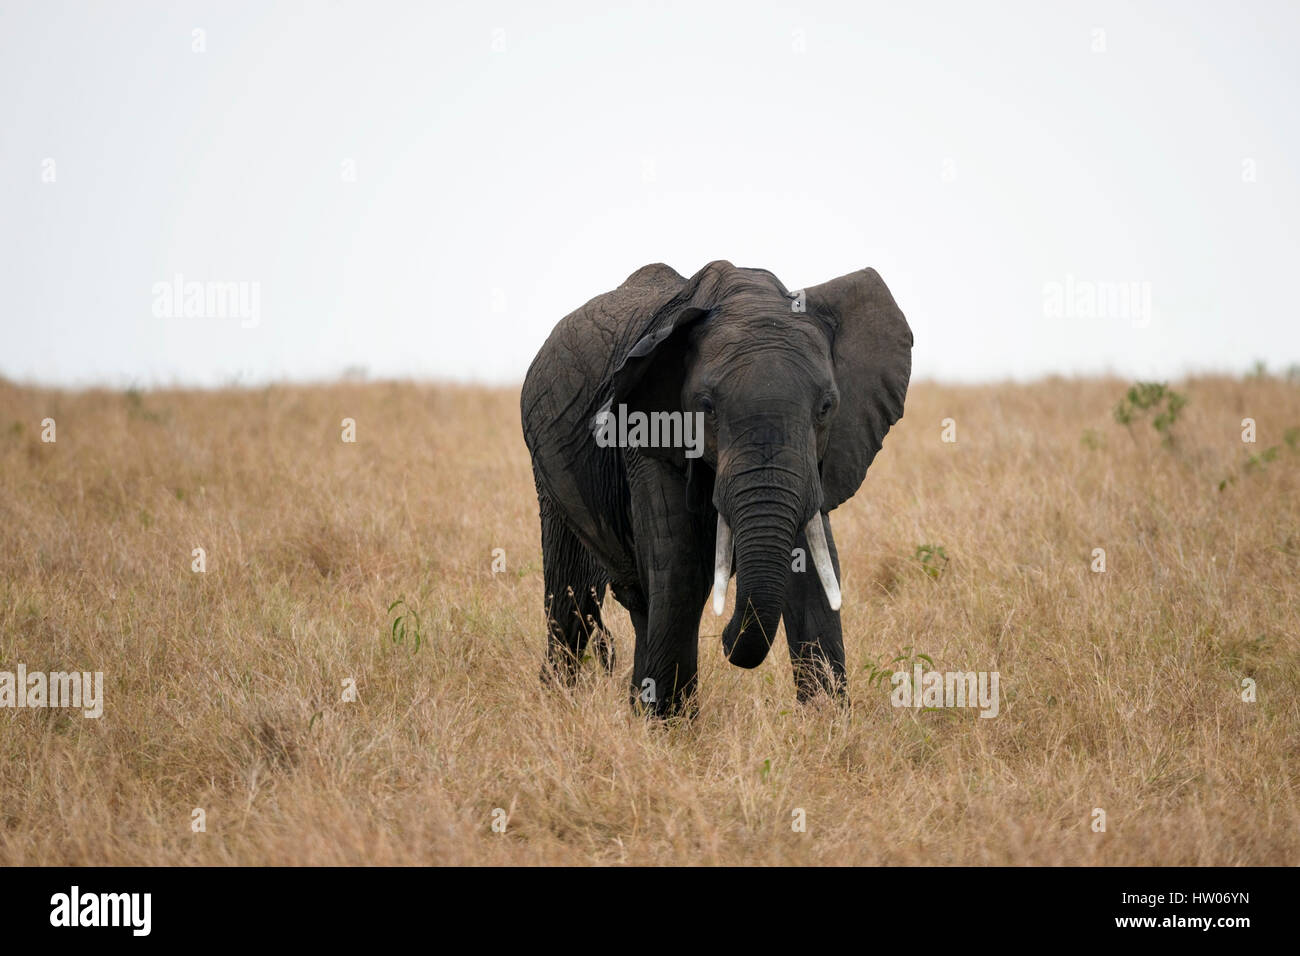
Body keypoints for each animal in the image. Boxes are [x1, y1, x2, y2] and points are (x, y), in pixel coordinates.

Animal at [520, 260, 912, 717]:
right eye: (705, 408)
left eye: (827, 407)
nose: (725, 639)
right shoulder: (646, 436)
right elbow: (681, 567)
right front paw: (669, 728)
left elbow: (812, 568)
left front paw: (826, 722)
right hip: (548, 466)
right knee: (574, 600)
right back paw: (559, 704)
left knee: (634, 603)